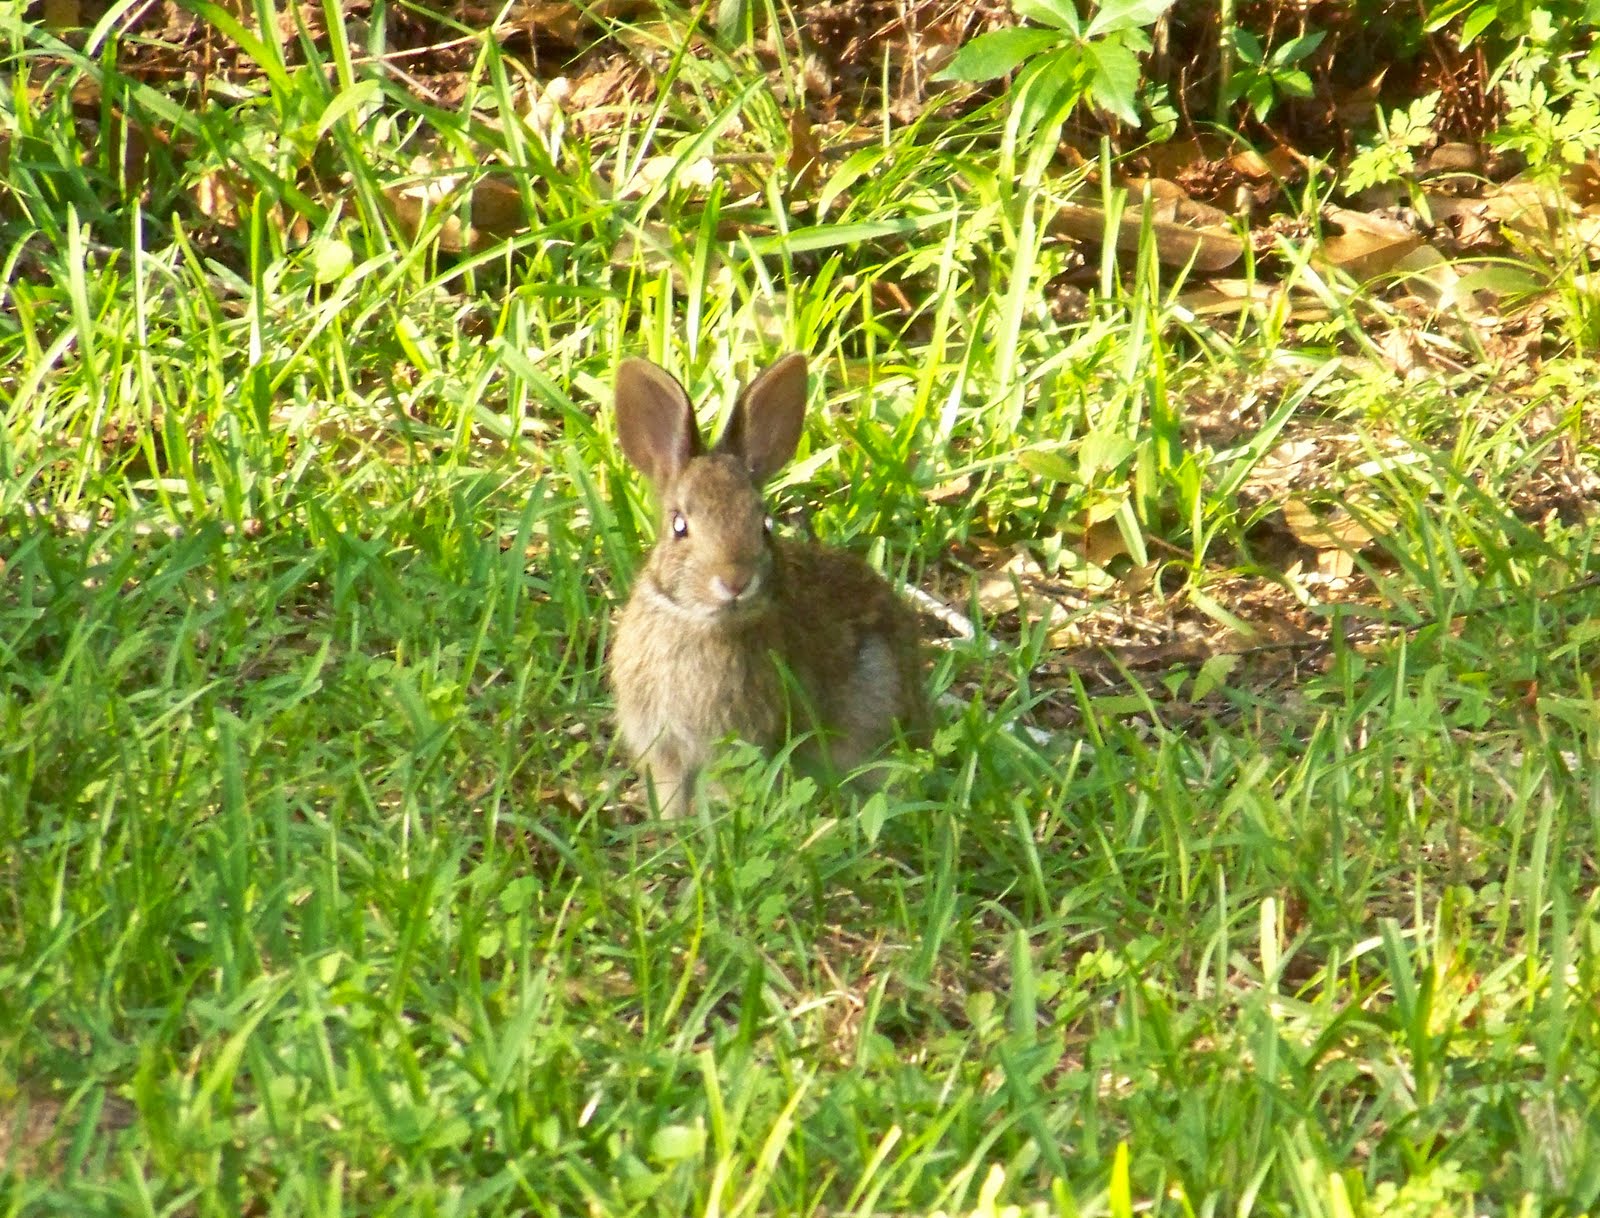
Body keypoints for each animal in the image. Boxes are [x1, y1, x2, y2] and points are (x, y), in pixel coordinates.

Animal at [609, 352, 927, 817]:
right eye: (679, 526)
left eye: (764, 524)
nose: (735, 581)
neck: (700, 623)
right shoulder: (664, 749)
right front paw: (670, 830)